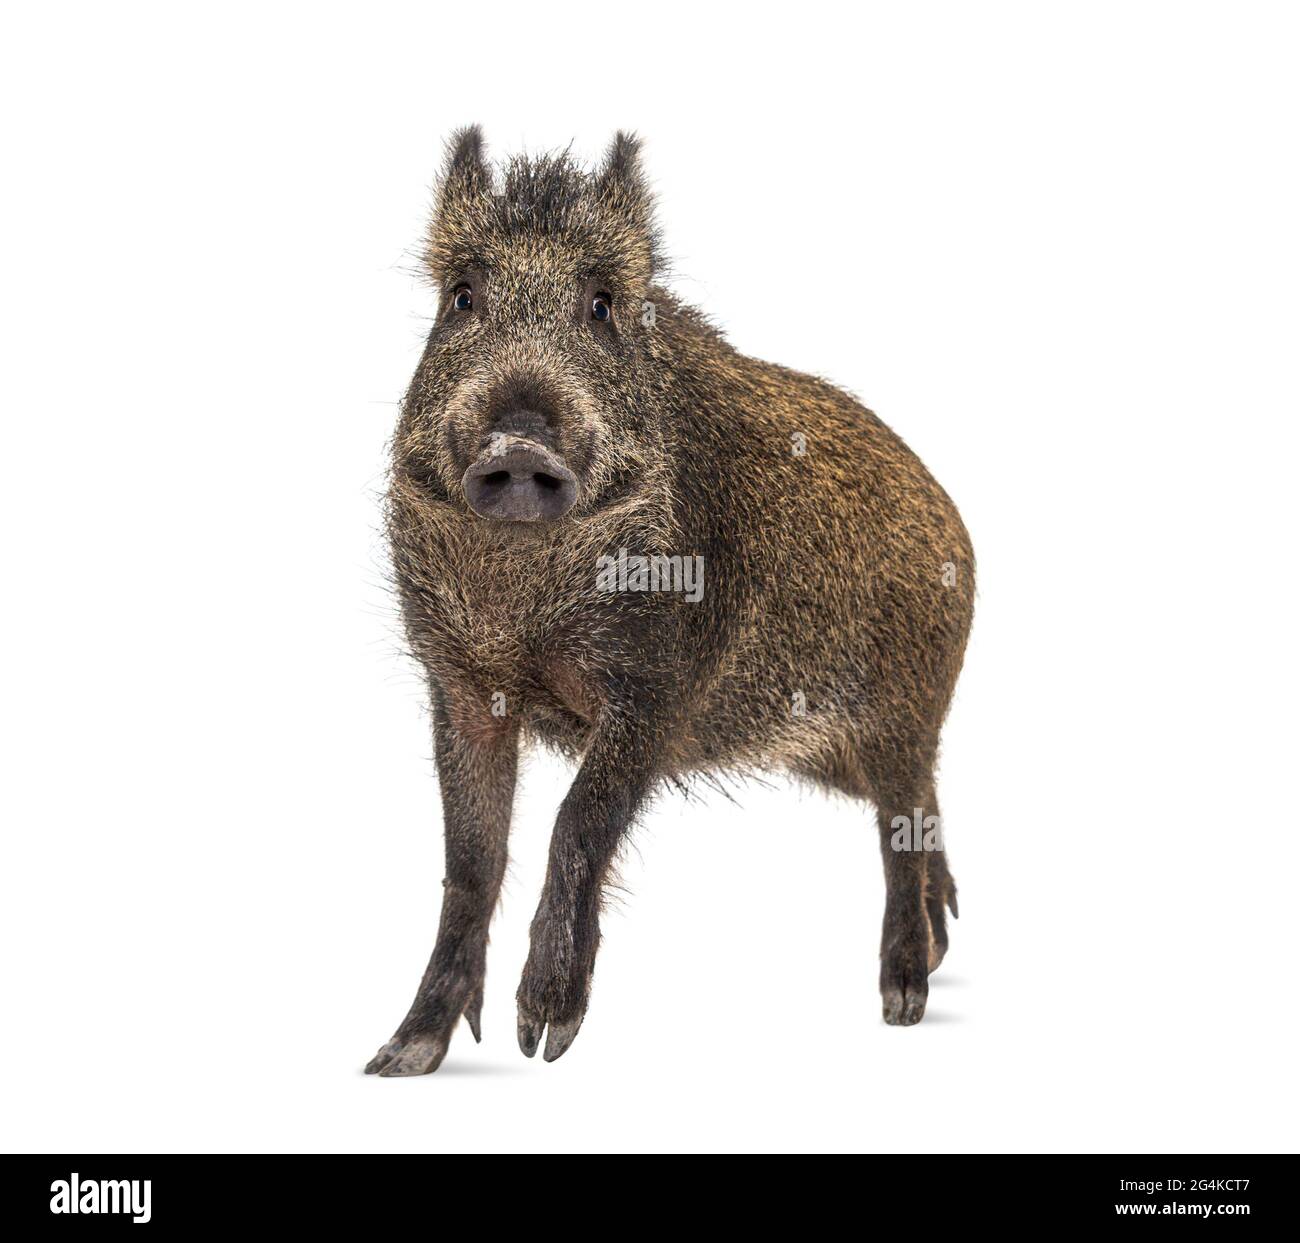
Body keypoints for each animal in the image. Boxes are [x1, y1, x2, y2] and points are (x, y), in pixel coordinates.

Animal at [366, 128, 974, 1075]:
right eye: (461, 297)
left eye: (602, 306)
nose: (518, 444)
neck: (525, 600)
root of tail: (958, 527)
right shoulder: (461, 684)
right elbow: (469, 860)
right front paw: (400, 1057)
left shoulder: (662, 683)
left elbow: (580, 817)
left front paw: (543, 1036)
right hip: (835, 748)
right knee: (919, 808)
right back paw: (943, 945)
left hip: (904, 706)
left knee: (902, 818)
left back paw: (904, 999)